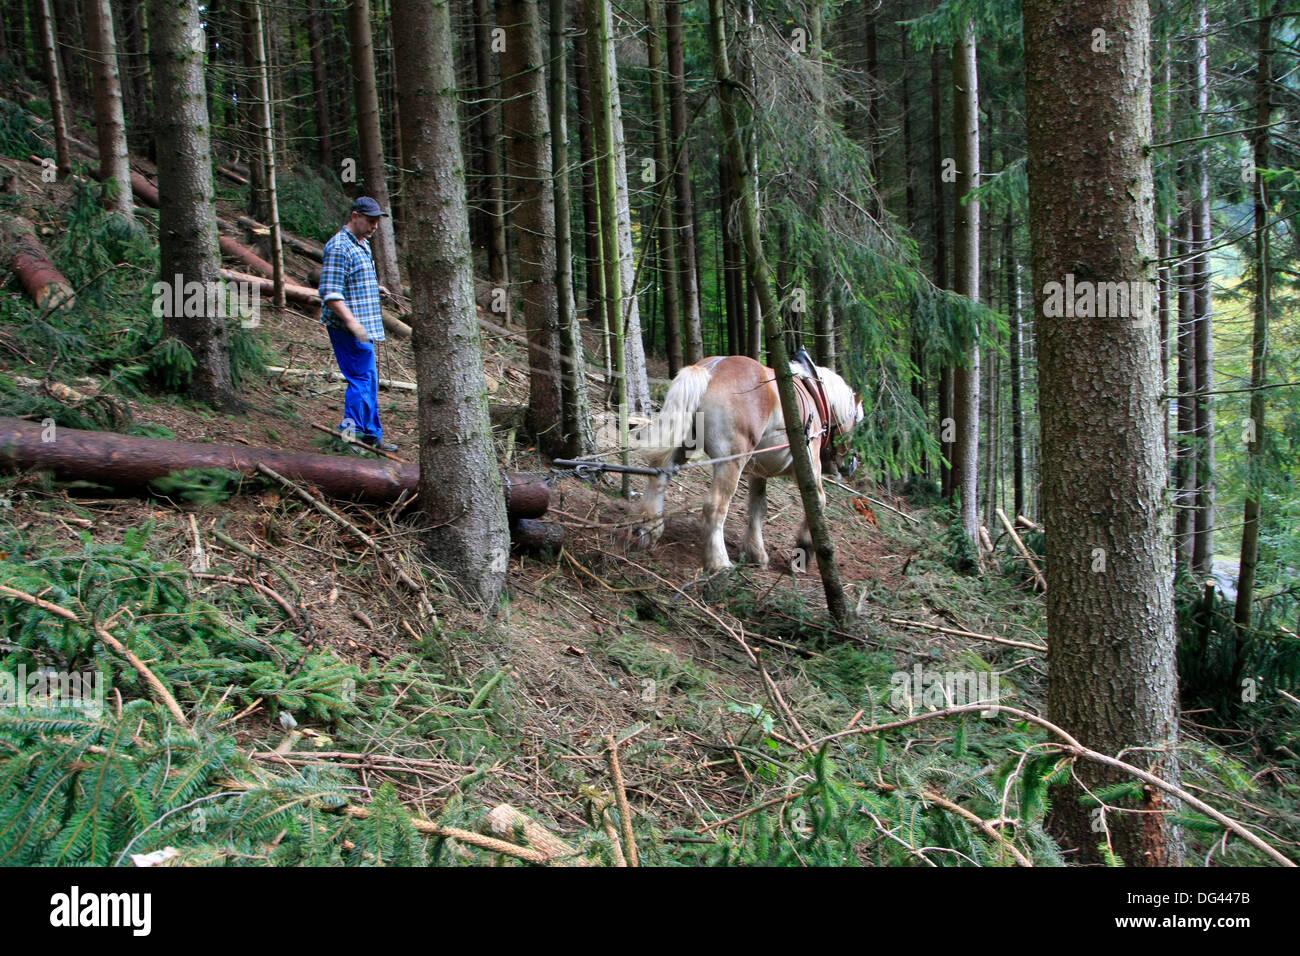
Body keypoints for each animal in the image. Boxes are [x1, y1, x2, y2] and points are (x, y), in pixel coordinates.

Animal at [633, 354, 864, 571]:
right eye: (857, 423)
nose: (852, 464)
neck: (817, 396)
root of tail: (710, 369)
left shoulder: (758, 473)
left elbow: (757, 507)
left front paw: (756, 553)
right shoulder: (809, 467)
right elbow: (818, 502)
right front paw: (804, 551)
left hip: (682, 445)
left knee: (659, 478)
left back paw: (650, 529)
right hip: (731, 461)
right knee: (715, 506)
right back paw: (719, 562)